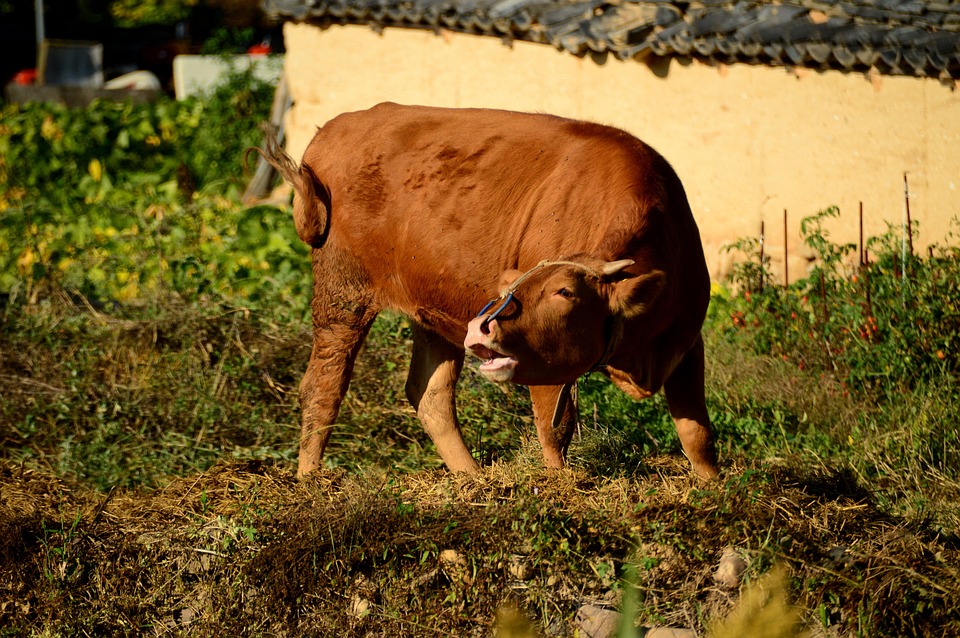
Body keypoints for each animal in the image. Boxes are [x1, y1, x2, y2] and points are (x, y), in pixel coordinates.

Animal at [253, 102, 719, 480]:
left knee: (430, 396)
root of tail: (338, 126)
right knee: (324, 386)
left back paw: (473, 480)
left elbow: (697, 433)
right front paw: (561, 488)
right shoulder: (542, 361)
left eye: (565, 292)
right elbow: (555, 429)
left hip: (433, 307)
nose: (483, 326)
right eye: (514, 285)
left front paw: (712, 488)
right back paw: (310, 479)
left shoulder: (686, 342)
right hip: (343, 291)